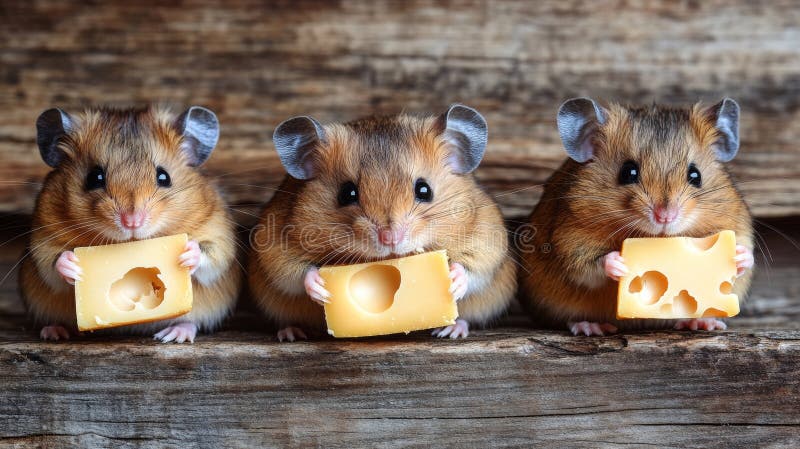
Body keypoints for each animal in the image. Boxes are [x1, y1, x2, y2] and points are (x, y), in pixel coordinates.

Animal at [19, 105, 241, 343]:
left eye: (164, 177)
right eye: (95, 177)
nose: (132, 221)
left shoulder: (218, 232)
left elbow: (211, 256)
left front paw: (188, 252)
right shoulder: (42, 239)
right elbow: (52, 263)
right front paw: (72, 264)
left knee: (189, 322)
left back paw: (174, 334)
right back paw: (54, 332)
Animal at [248, 104, 517, 341]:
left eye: (424, 190)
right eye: (347, 193)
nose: (391, 239)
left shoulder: (487, 241)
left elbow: (473, 268)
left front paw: (453, 277)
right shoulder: (275, 248)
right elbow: (296, 274)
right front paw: (321, 288)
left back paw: (451, 330)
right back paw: (291, 333)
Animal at [519, 97, 755, 336]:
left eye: (695, 175)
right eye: (628, 172)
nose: (665, 217)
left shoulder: (739, 226)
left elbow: (746, 252)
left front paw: (739, 256)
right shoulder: (570, 241)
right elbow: (588, 266)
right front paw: (618, 262)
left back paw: (702, 322)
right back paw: (591, 326)